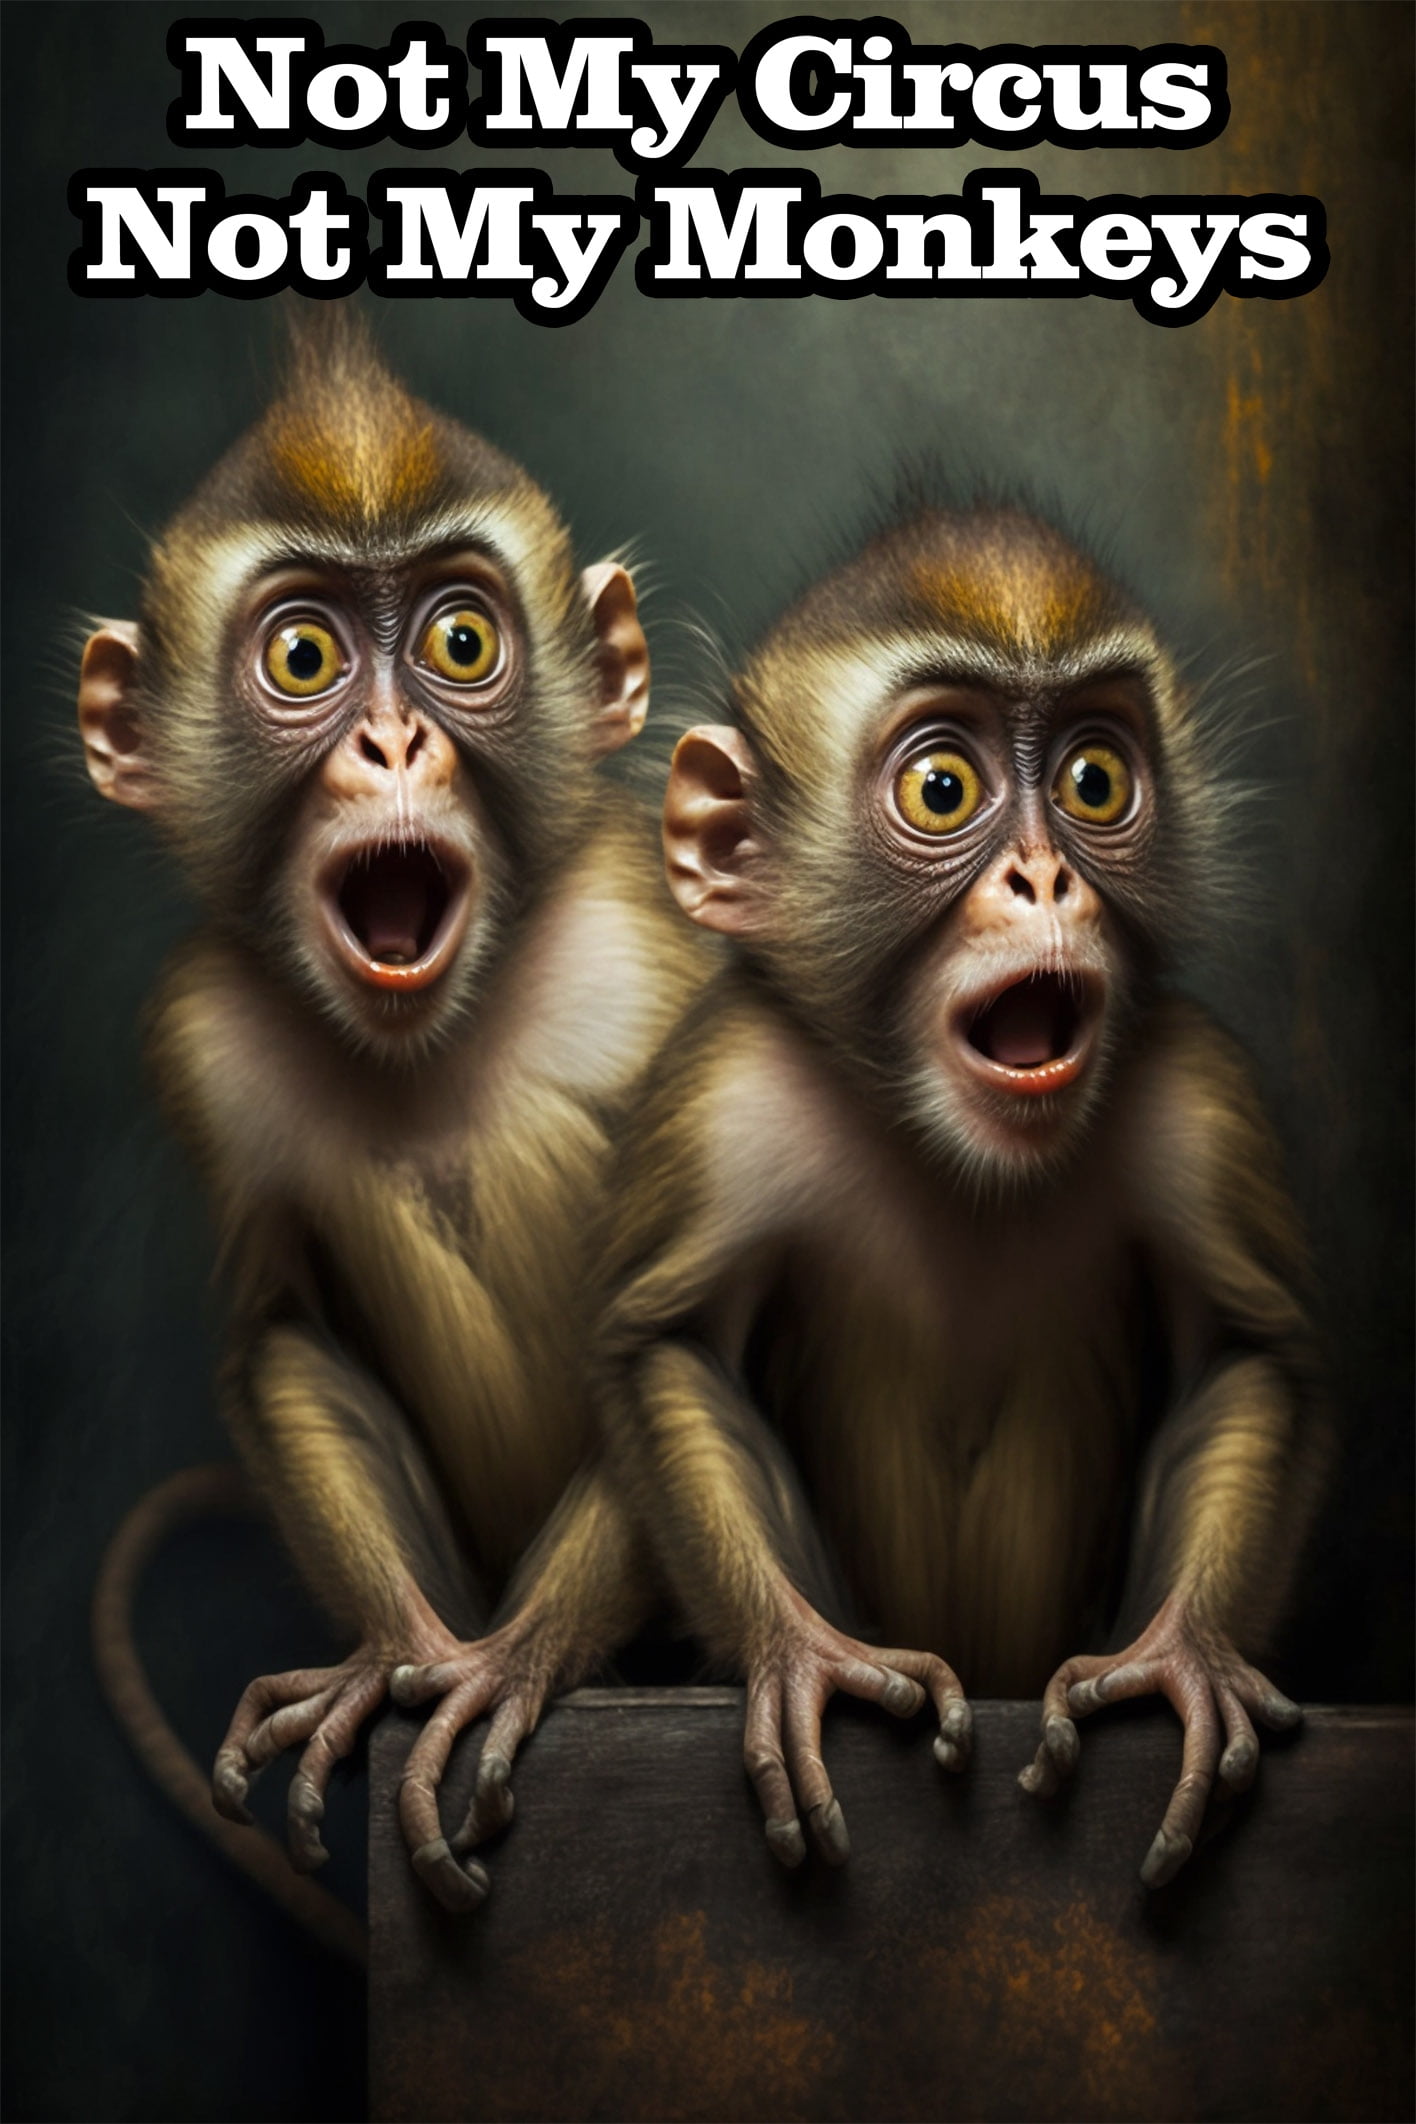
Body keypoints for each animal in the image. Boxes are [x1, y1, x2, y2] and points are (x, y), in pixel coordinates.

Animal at [77, 309, 708, 1915]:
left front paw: (509, 1667)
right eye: (304, 655)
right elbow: (280, 1332)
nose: (390, 747)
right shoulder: (202, 1036)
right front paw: (391, 1659)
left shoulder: (646, 956)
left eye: (459, 643)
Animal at [593, 503, 1329, 1886]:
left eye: (1097, 783)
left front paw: (1187, 1657)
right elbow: (665, 1344)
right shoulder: (728, 1086)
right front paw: (800, 1655)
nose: (1044, 881)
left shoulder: (1196, 1094)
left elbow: (1246, 1355)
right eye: (944, 790)